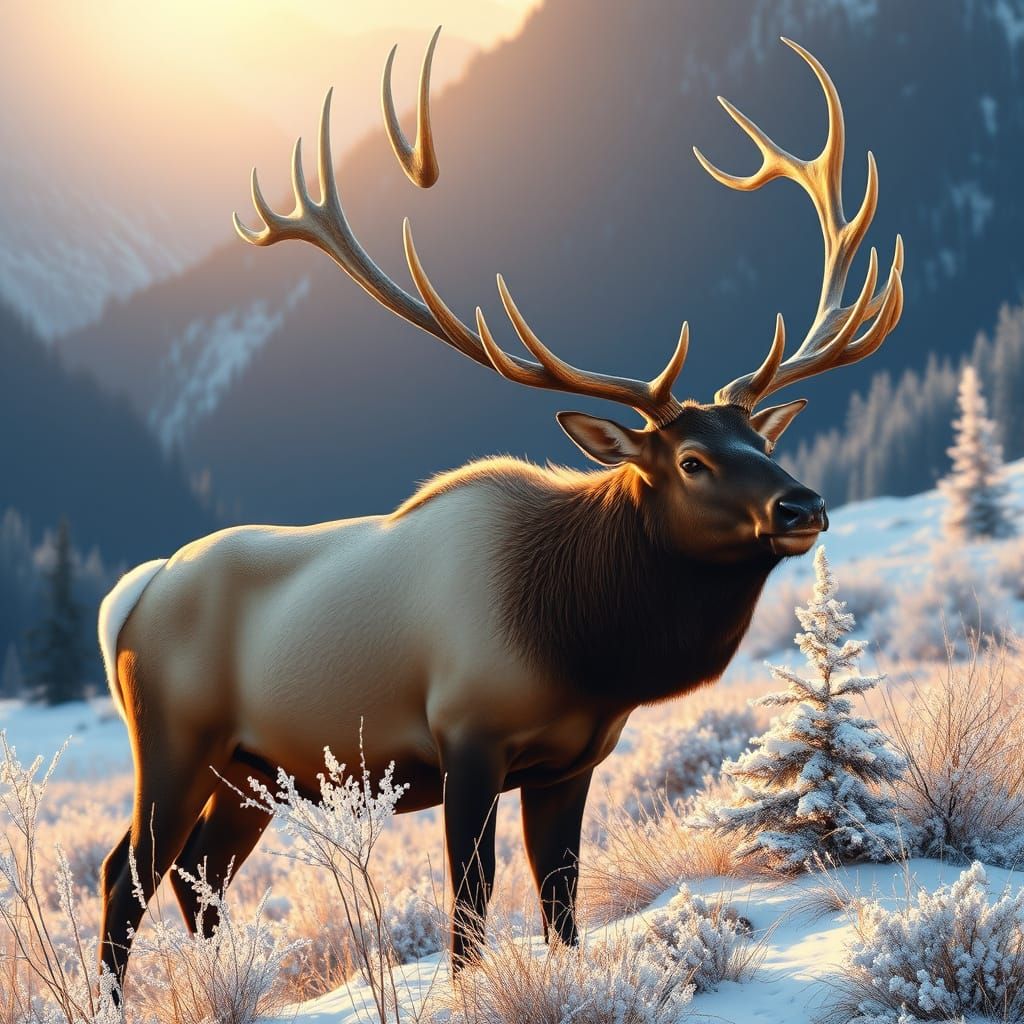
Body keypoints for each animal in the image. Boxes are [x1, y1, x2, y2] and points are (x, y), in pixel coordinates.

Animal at [97, 30, 903, 987]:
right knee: (126, 873)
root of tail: (132, 595)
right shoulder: (466, 733)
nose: (802, 503)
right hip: (176, 738)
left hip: (253, 770)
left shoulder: (574, 757)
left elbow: (561, 901)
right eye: (693, 460)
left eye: (765, 443)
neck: (586, 642)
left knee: (200, 872)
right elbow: (471, 910)